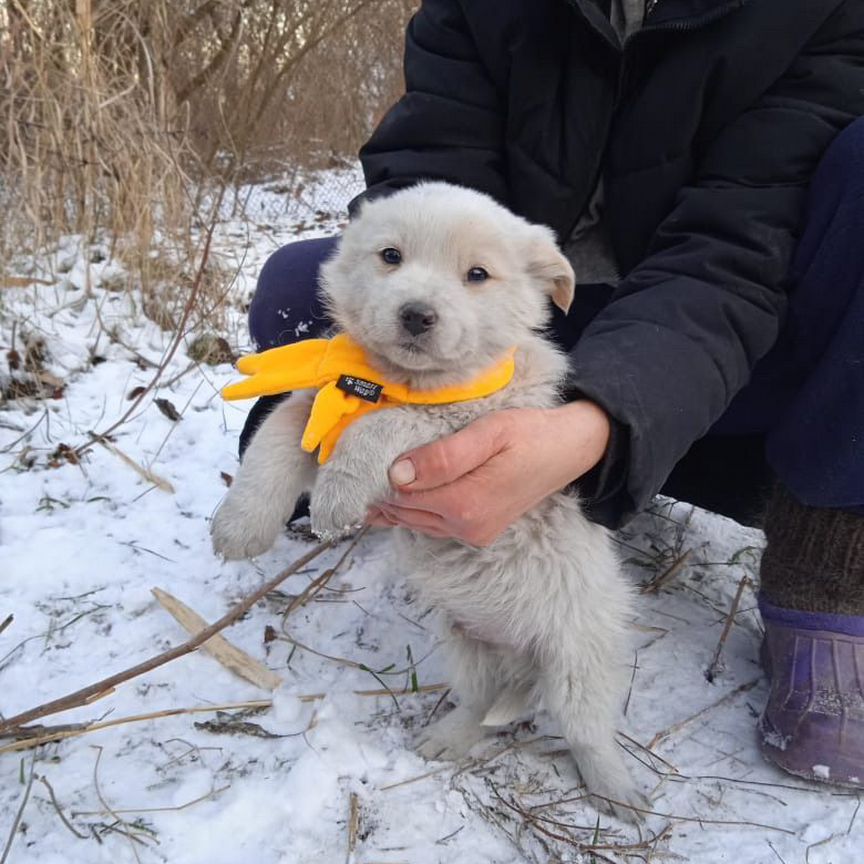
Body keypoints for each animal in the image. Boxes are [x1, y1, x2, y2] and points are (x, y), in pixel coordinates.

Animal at [210, 182, 640, 816]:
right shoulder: (314, 407)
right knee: (480, 705)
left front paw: (338, 495)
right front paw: (239, 526)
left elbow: (383, 426)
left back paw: (617, 790)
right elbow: (272, 441)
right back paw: (447, 737)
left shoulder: (455, 423)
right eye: (391, 256)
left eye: (477, 274)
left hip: (578, 661)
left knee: (587, 731)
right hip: (468, 645)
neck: (395, 382)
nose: (416, 314)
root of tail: (523, 662)